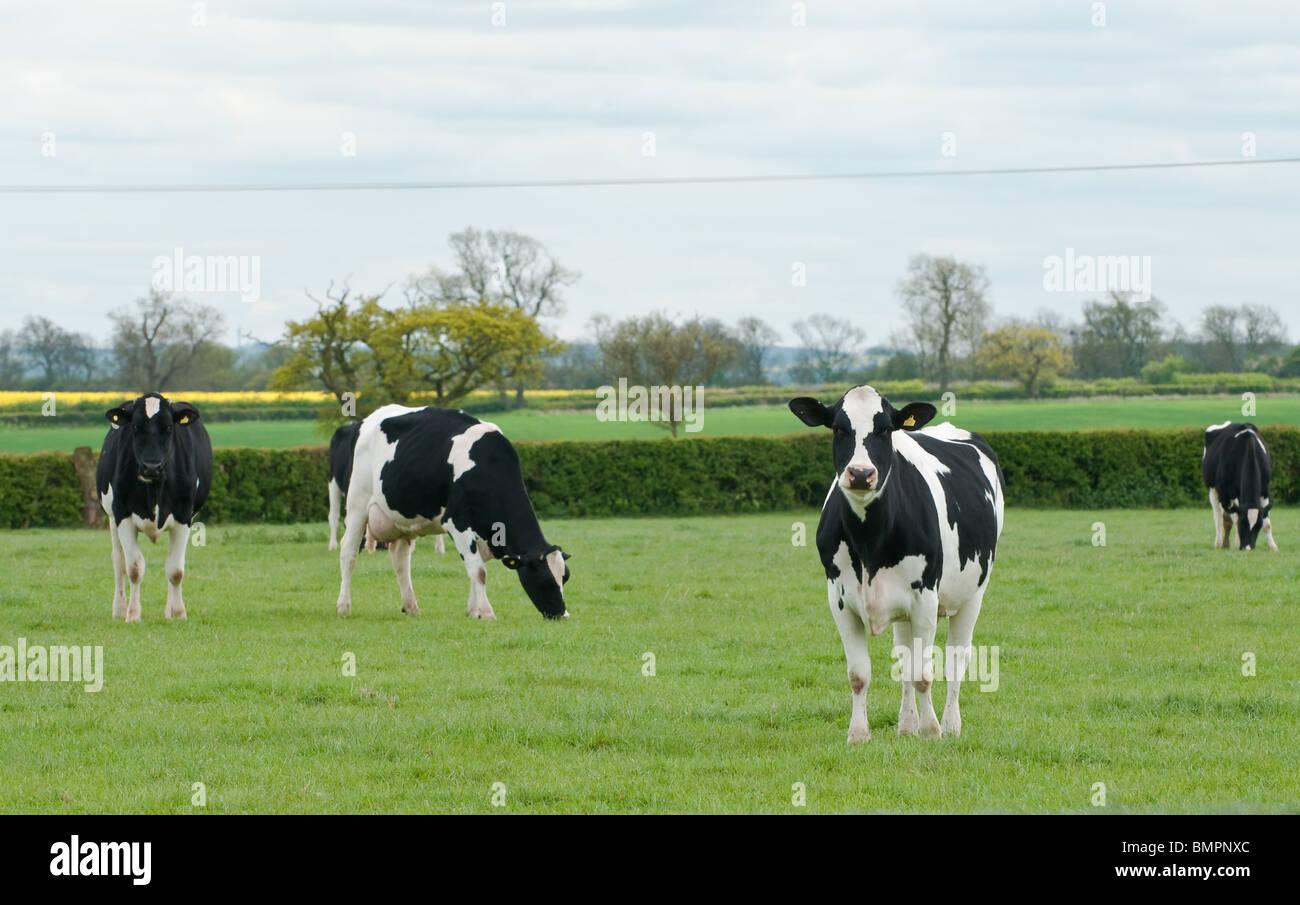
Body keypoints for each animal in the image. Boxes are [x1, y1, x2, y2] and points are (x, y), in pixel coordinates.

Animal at [97, 393, 213, 622]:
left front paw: (178, 613)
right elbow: (133, 568)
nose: (151, 467)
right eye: (135, 426)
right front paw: (133, 614)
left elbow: (175, 569)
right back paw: (119, 609)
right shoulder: (122, 515)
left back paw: (169, 610)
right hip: (111, 518)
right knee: (119, 561)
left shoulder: (183, 518)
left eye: (168, 427)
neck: (154, 490)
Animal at [789, 385, 1004, 743]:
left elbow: (923, 674)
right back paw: (906, 726)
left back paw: (950, 725)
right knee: (904, 657)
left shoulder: (925, 598)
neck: (869, 540)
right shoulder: (839, 600)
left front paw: (931, 731)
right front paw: (858, 734)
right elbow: (860, 674)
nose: (861, 473)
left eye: (886, 429)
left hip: (973, 594)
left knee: (955, 660)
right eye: (839, 429)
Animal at [1203, 421, 1278, 551]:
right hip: (1213, 489)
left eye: (1258, 526)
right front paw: (1234, 544)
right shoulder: (1228, 492)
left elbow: (1267, 524)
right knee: (1218, 517)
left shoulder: (1264, 491)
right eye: (1242, 524)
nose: (1248, 547)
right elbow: (1231, 518)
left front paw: (1273, 546)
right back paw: (1219, 543)